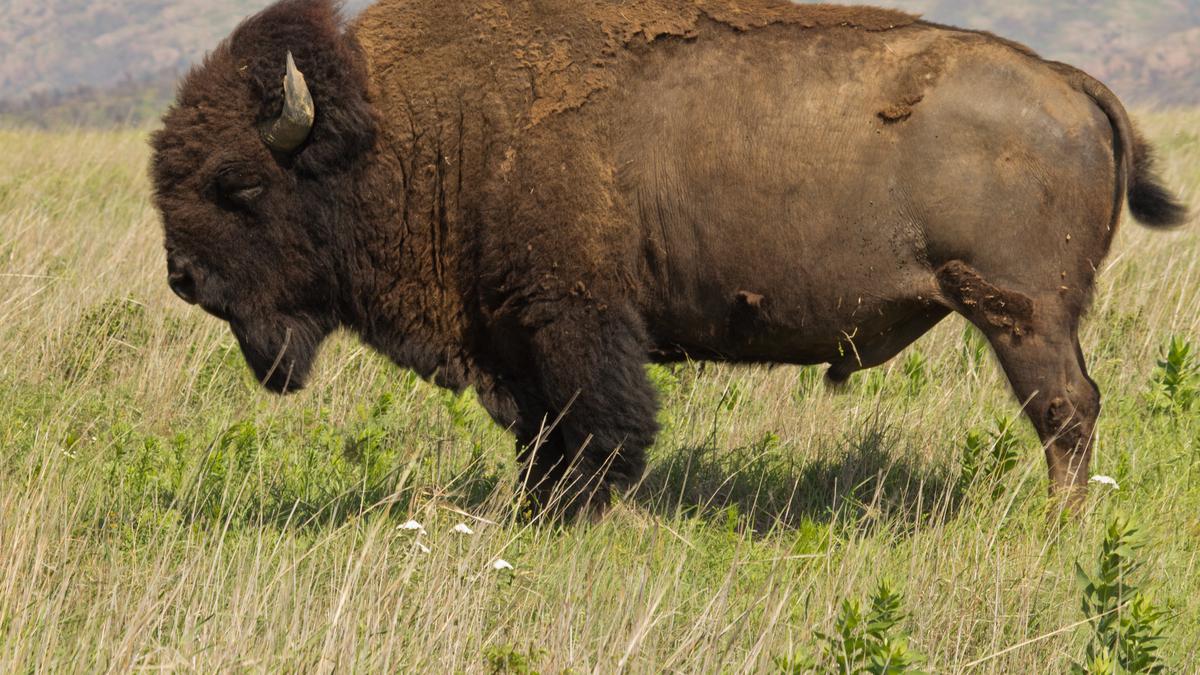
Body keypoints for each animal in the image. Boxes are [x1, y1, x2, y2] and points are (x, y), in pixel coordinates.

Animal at [152, 0, 1189, 519]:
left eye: (237, 184)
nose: (182, 278)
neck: (403, 125)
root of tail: (1068, 82)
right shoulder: (516, 340)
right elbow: (540, 440)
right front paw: (533, 515)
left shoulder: (575, 324)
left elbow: (600, 432)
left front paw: (577, 520)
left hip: (1022, 315)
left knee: (1066, 410)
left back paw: (1061, 524)